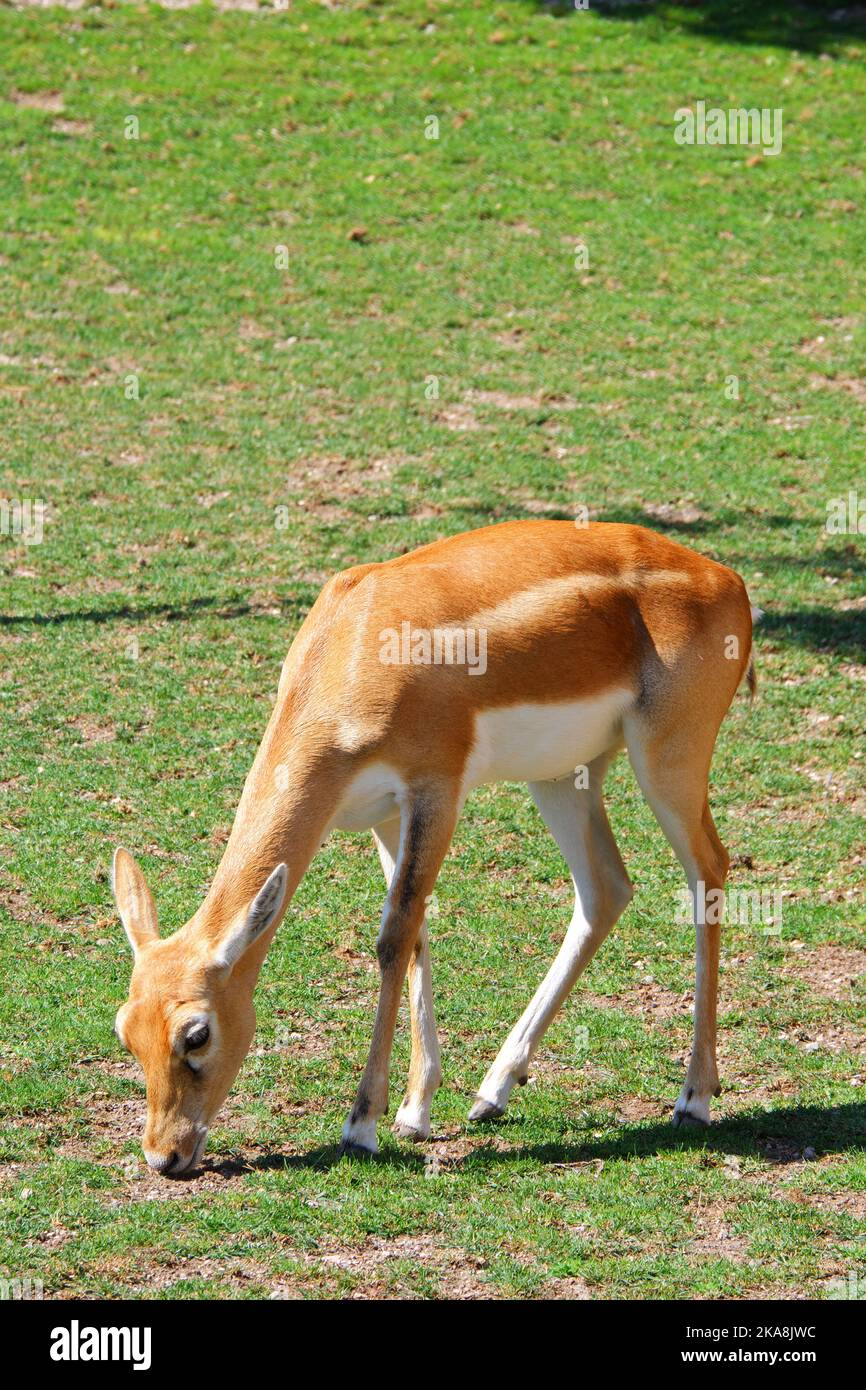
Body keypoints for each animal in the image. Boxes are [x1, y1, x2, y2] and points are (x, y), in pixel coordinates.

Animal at [112, 520, 756, 1174]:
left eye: (196, 1033)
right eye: (125, 1030)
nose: (163, 1155)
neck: (351, 649)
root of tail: (726, 578)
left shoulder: (436, 791)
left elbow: (394, 935)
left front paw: (362, 1124)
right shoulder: (383, 813)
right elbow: (416, 931)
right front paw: (414, 1111)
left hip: (667, 761)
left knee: (710, 871)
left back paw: (694, 1098)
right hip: (562, 776)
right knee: (605, 889)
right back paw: (493, 1091)